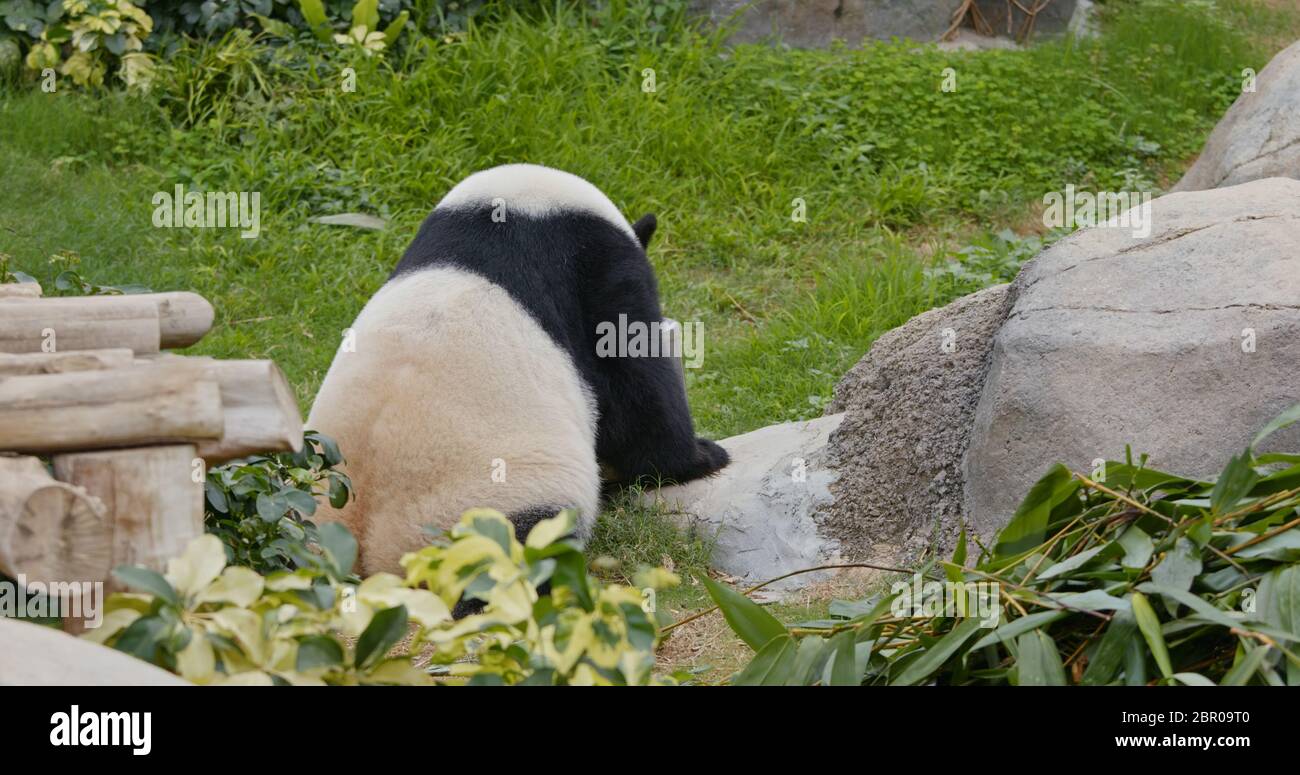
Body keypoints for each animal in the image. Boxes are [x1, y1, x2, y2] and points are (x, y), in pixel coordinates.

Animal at [307, 163, 730, 576]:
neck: (521, 204)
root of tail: (366, 544)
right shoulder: (597, 264)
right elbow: (634, 376)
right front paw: (704, 456)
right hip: (489, 507)